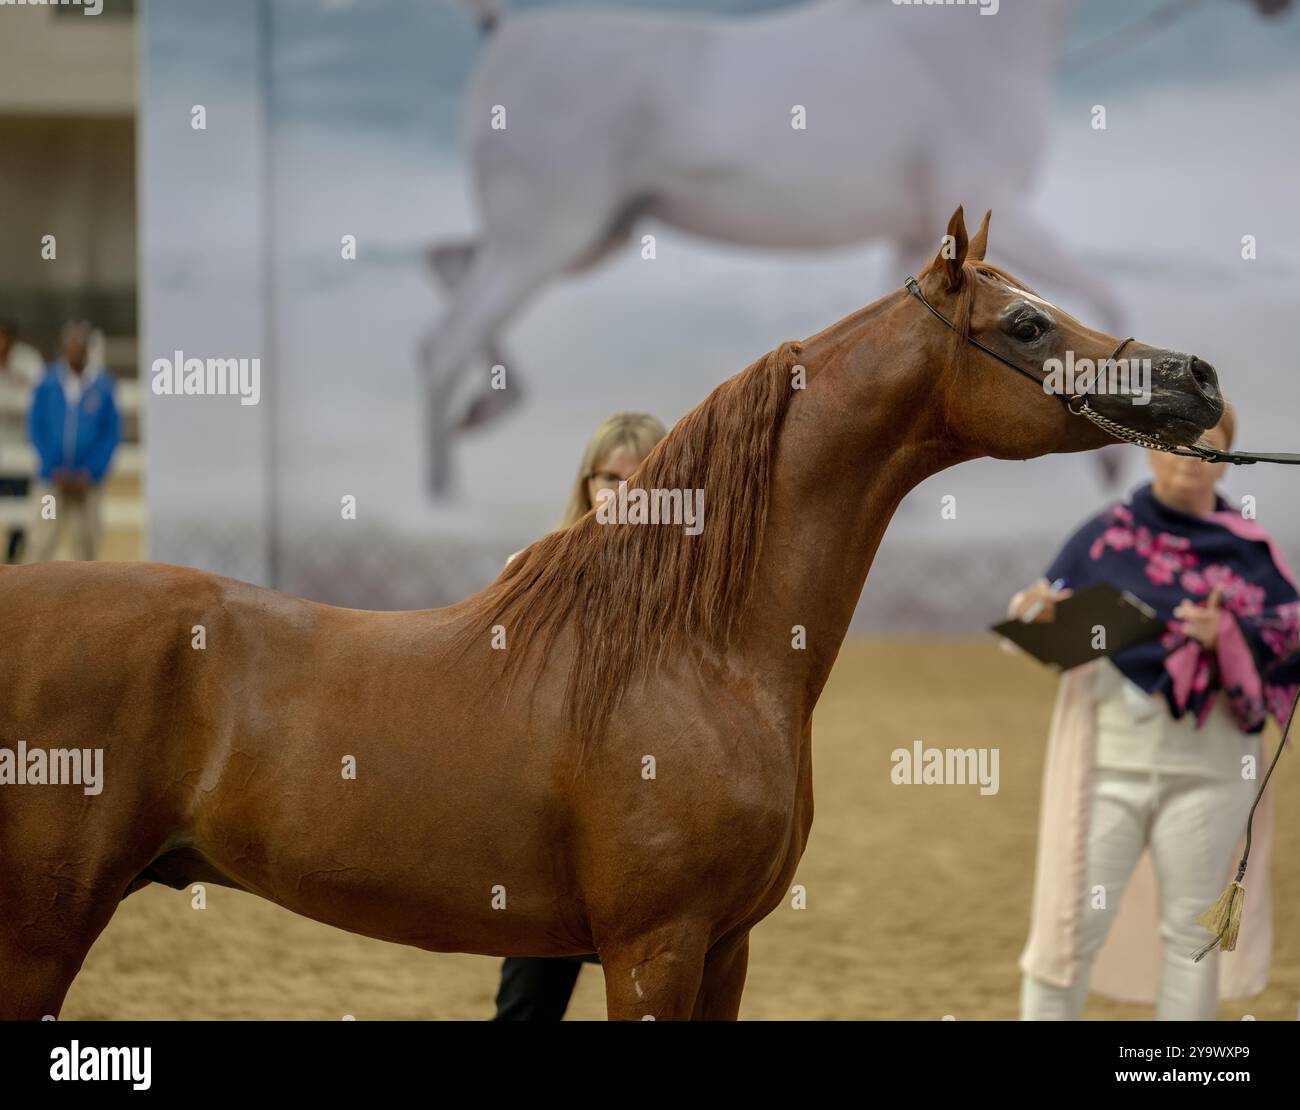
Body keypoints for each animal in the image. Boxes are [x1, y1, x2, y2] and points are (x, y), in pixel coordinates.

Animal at [0, 209, 1224, 1020]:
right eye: (1023, 326)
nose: (1197, 378)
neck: (689, 652)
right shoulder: (655, 947)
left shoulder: (725, 949)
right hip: (41, 928)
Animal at [420, 0, 1283, 493]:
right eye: (1026, 326)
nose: (1201, 381)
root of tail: (502, 30)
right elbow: (1108, 289)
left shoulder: (917, 233)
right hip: (551, 235)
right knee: (445, 340)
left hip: (586, 236)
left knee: (449, 275)